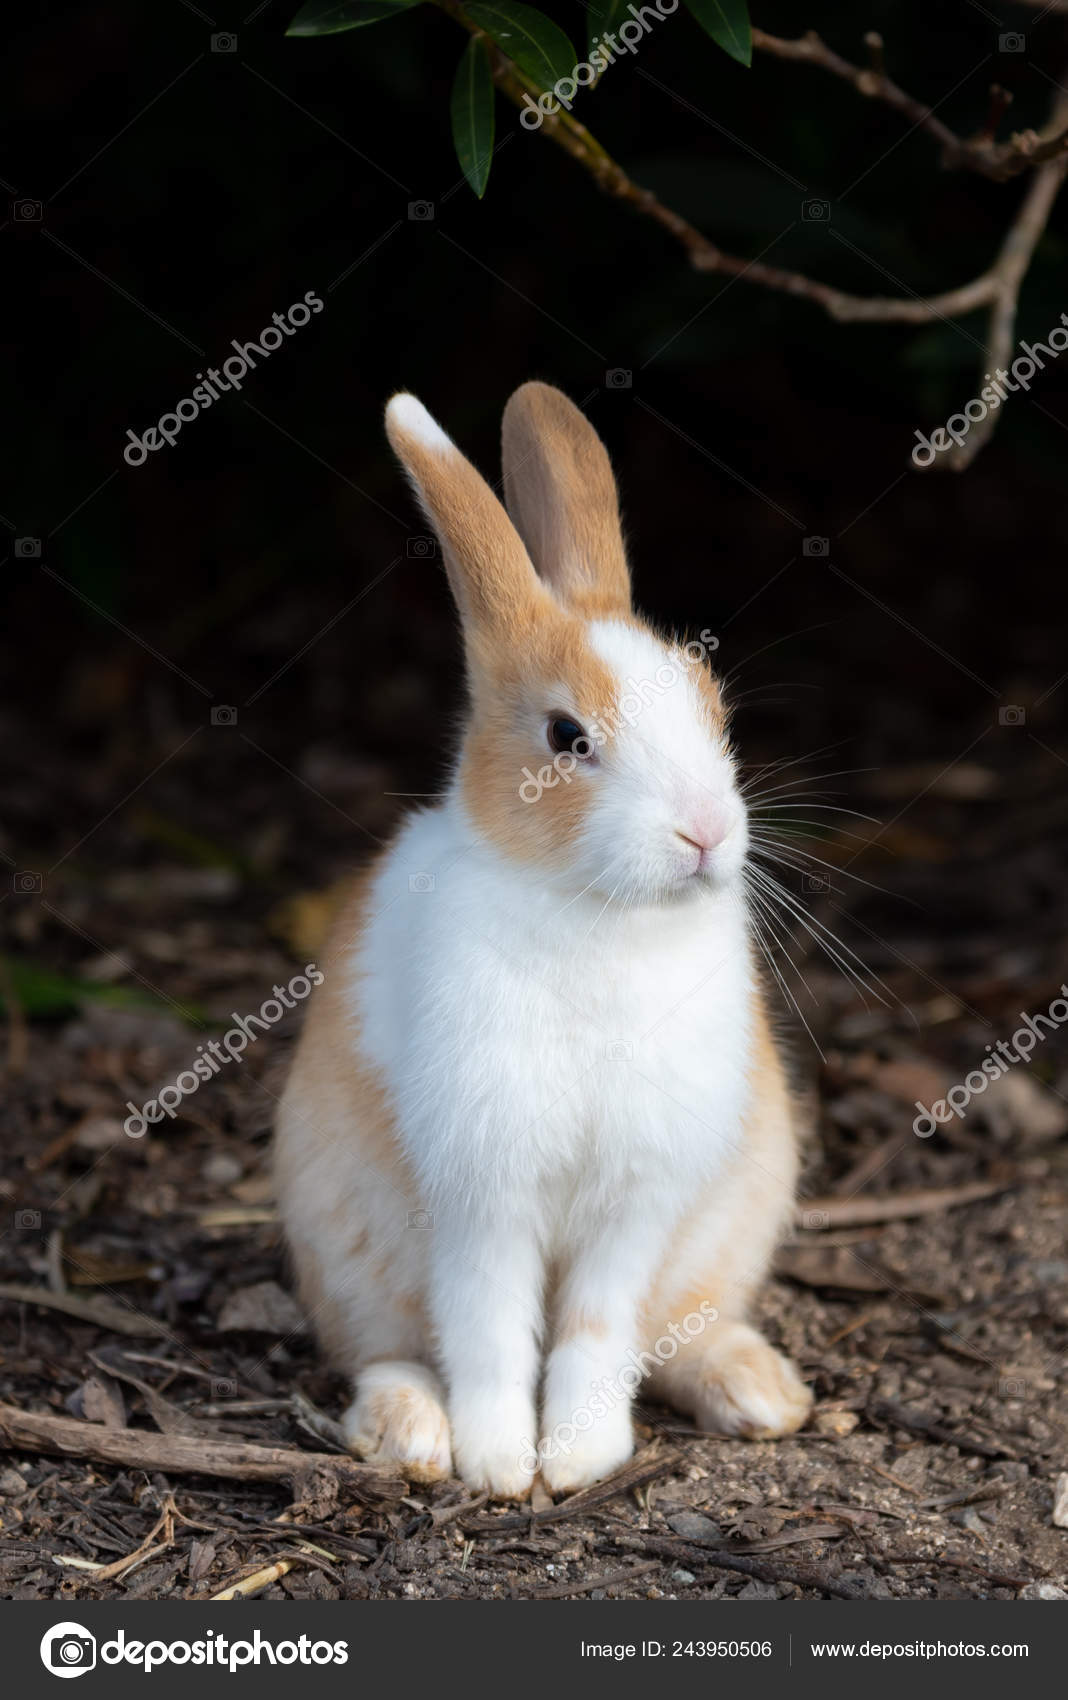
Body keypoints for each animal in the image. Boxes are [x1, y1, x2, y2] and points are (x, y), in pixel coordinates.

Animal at [274, 381, 812, 1499]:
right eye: (569, 738)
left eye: (713, 707)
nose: (707, 831)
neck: (596, 910)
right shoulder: (482, 1193)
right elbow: (486, 1331)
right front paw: (496, 1462)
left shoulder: (636, 1200)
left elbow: (597, 1331)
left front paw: (576, 1459)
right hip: (344, 1248)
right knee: (387, 1351)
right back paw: (412, 1436)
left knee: (679, 1334)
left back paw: (760, 1394)